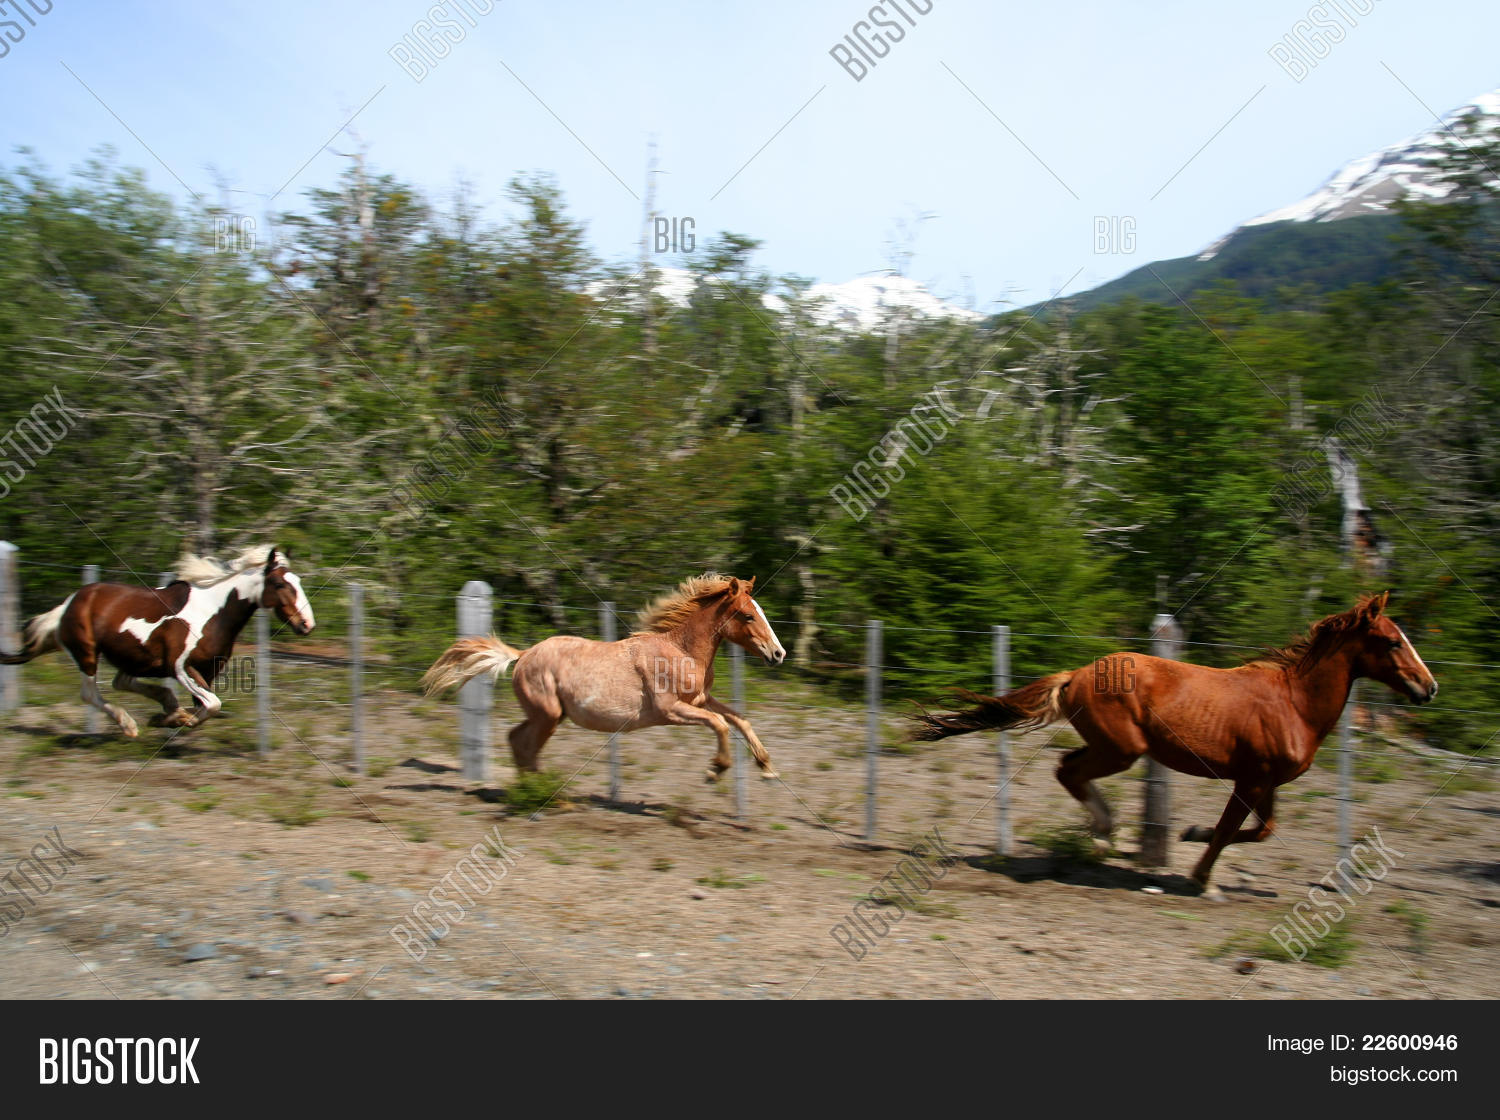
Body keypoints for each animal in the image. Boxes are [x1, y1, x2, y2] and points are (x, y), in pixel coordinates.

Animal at [0, 547, 315, 738]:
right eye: (279, 584)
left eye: (299, 581)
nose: (306, 624)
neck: (212, 612)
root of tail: (69, 603)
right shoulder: (181, 667)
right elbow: (212, 704)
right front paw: (175, 719)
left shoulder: (209, 668)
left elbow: (207, 705)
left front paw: (171, 717)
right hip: (87, 653)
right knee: (91, 693)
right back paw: (128, 725)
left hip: (133, 657)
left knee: (121, 682)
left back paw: (165, 705)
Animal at [422, 573, 786, 782]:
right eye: (748, 615)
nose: (778, 653)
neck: (679, 651)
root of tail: (523, 654)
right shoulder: (671, 711)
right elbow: (720, 724)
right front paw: (716, 769)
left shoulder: (700, 700)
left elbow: (739, 719)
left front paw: (767, 766)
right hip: (548, 715)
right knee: (524, 745)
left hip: (549, 715)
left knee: (517, 740)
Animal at [911, 592, 1437, 895]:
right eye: (1393, 642)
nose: (1429, 687)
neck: (1294, 703)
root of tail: (1076, 673)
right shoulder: (1250, 779)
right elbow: (1228, 830)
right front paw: (1202, 878)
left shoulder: (1268, 782)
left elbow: (1261, 831)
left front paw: (1191, 836)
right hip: (1121, 750)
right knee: (1067, 770)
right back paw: (1105, 834)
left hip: (1114, 749)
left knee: (1068, 768)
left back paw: (1105, 834)